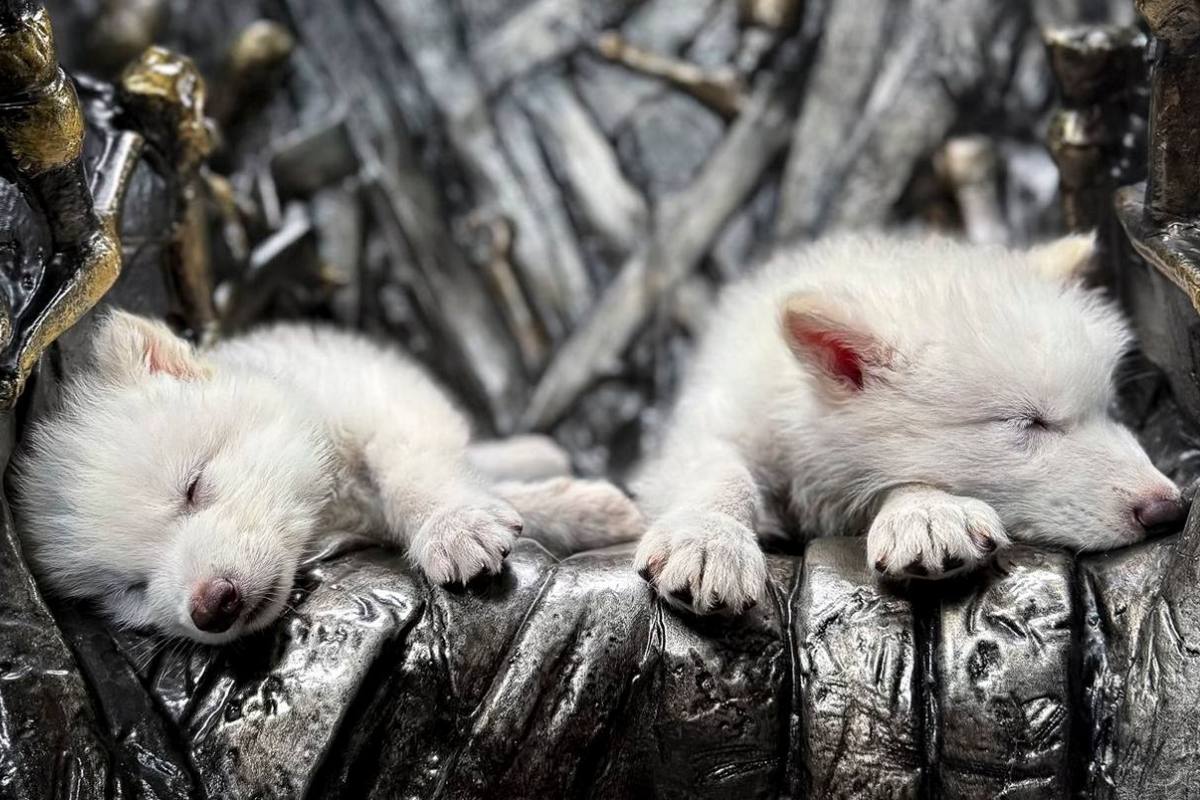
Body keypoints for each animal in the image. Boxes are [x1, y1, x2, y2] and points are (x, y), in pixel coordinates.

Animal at [12, 313, 644, 643]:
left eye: (193, 486)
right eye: (131, 589)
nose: (210, 607)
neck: (327, 507)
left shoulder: (386, 404)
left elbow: (415, 471)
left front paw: (453, 525)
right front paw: (580, 511)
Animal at [633, 233, 1186, 614]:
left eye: (1107, 410)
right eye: (1027, 422)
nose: (1172, 509)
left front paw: (926, 512)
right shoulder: (714, 421)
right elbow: (721, 470)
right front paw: (708, 538)